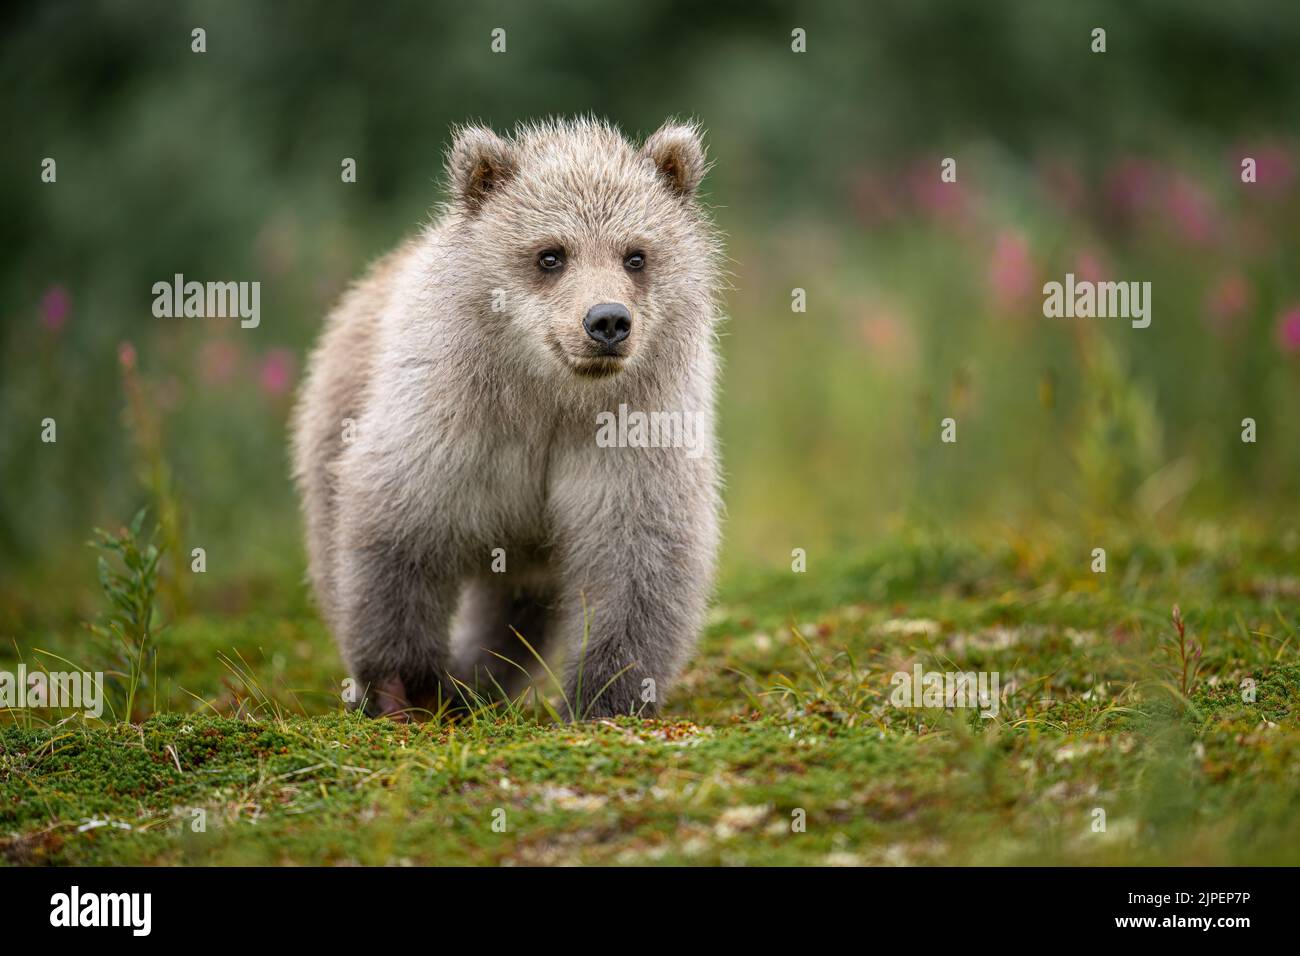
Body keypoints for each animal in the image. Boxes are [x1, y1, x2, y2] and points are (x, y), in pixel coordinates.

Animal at [291, 117, 724, 720]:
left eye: (635, 255)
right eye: (551, 254)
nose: (607, 321)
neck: (548, 400)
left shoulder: (630, 433)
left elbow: (639, 560)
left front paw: (603, 696)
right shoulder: (447, 427)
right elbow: (397, 539)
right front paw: (407, 687)